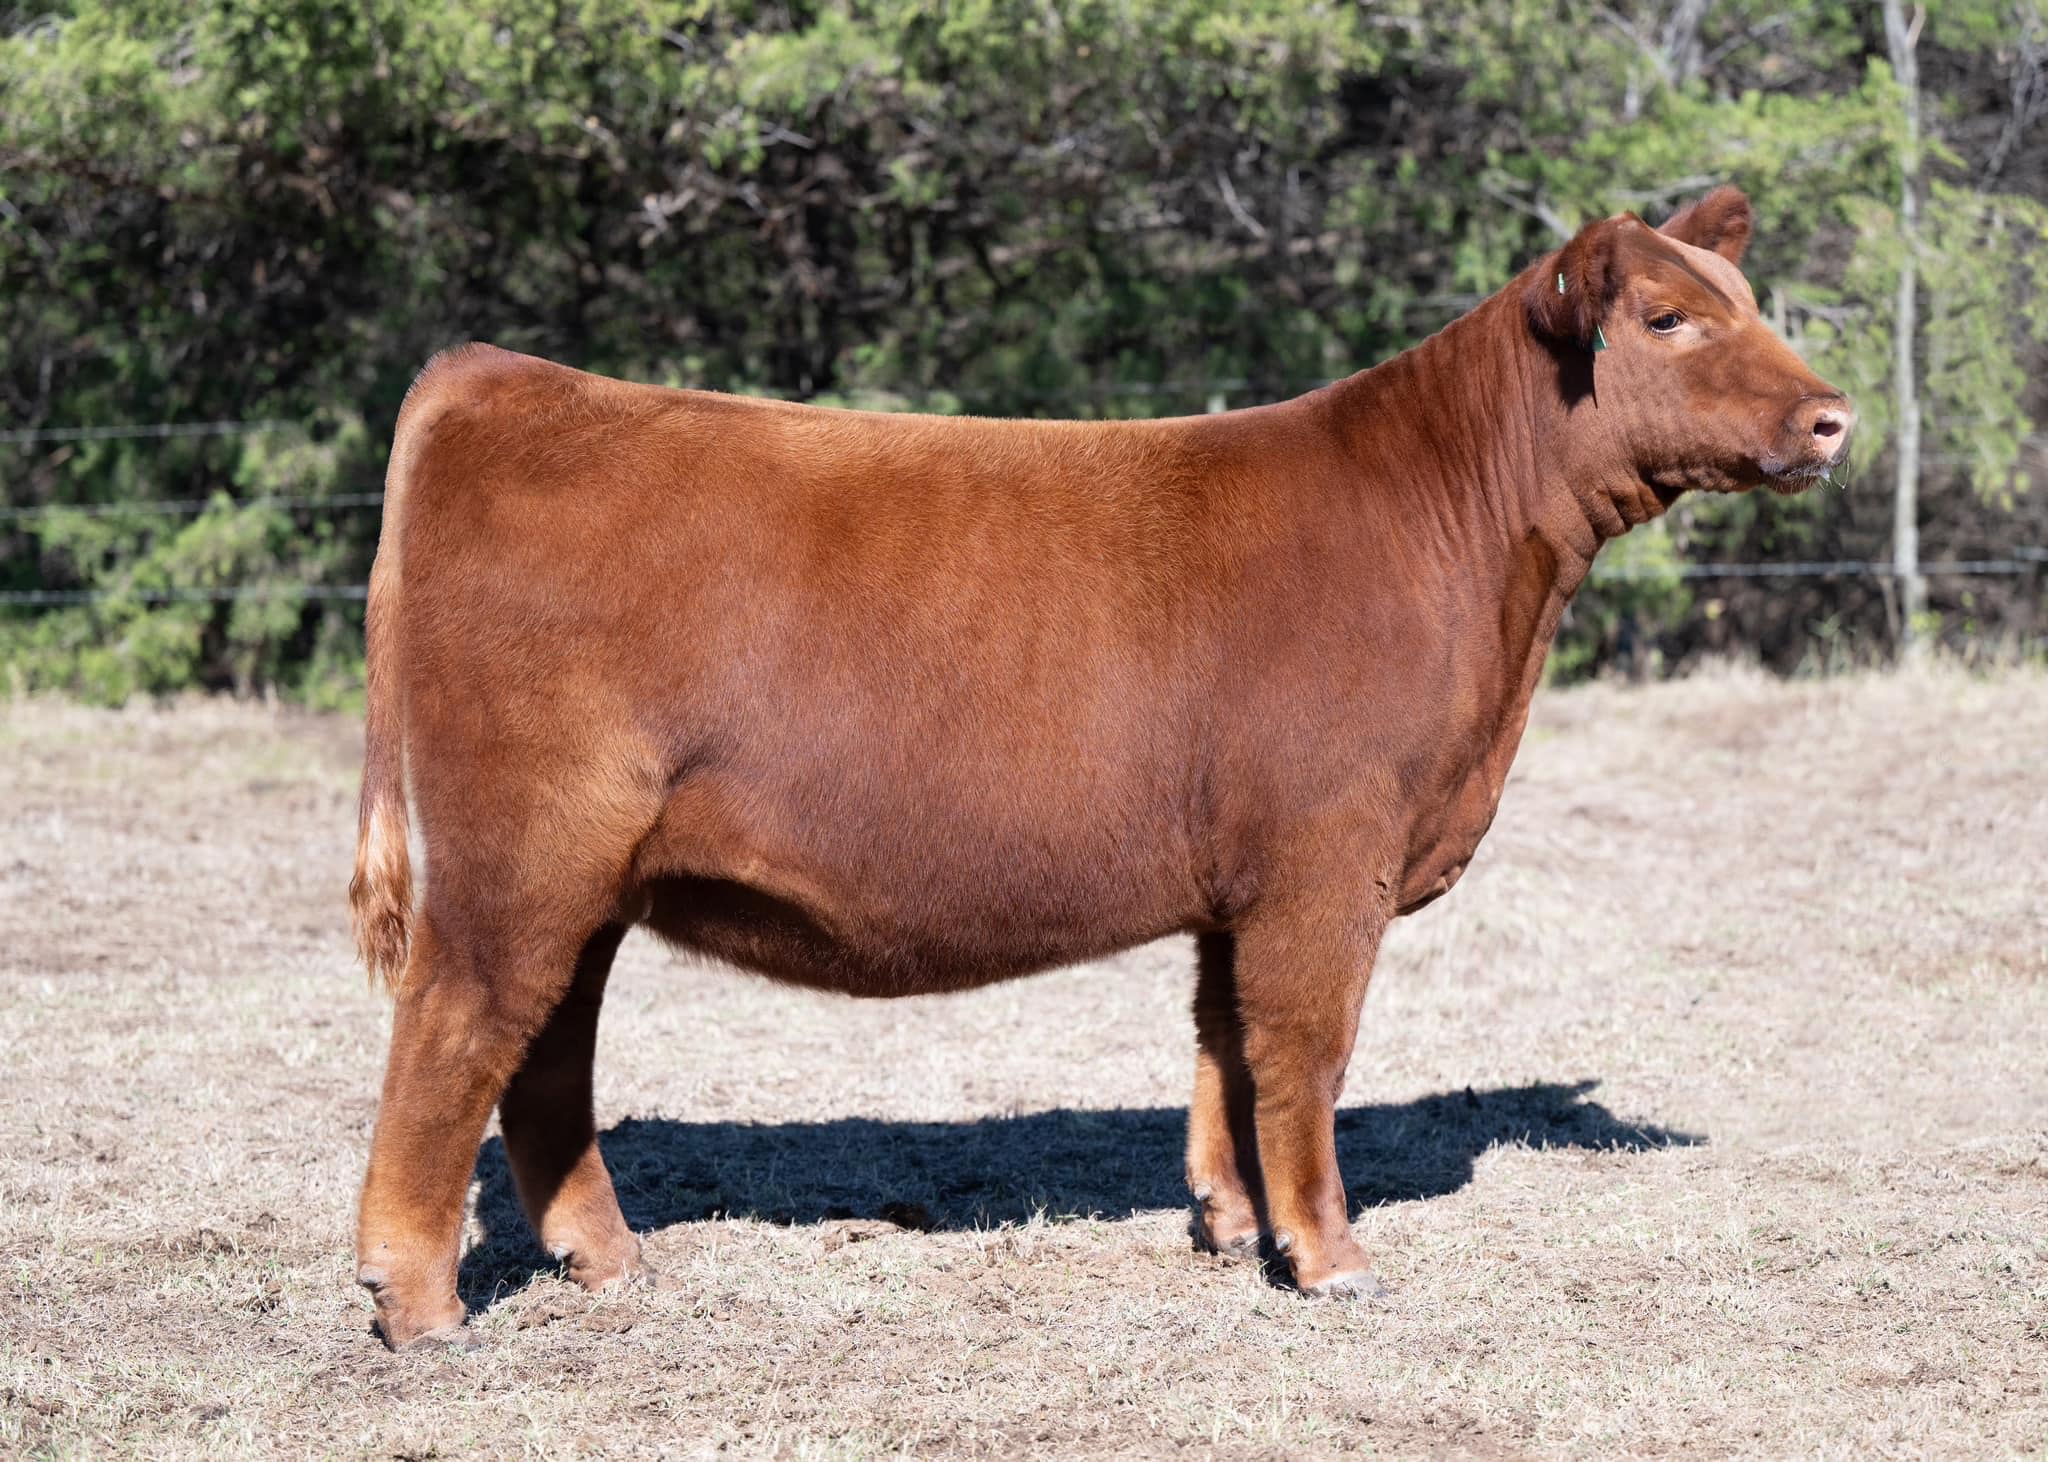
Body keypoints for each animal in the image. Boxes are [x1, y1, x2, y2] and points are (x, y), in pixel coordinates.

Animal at [348, 186, 1852, 1349]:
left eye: (1744, 293)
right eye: (1666, 318)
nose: (1834, 418)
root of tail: (504, 375)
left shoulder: (1239, 878)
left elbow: (1222, 1046)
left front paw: (1233, 1223)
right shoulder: (1327, 855)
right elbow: (1305, 1048)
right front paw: (1331, 1256)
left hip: (590, 875)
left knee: (544, 1056)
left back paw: (608, 1263)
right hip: (522, 851)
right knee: (454, 1033)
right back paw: (418, 1303)